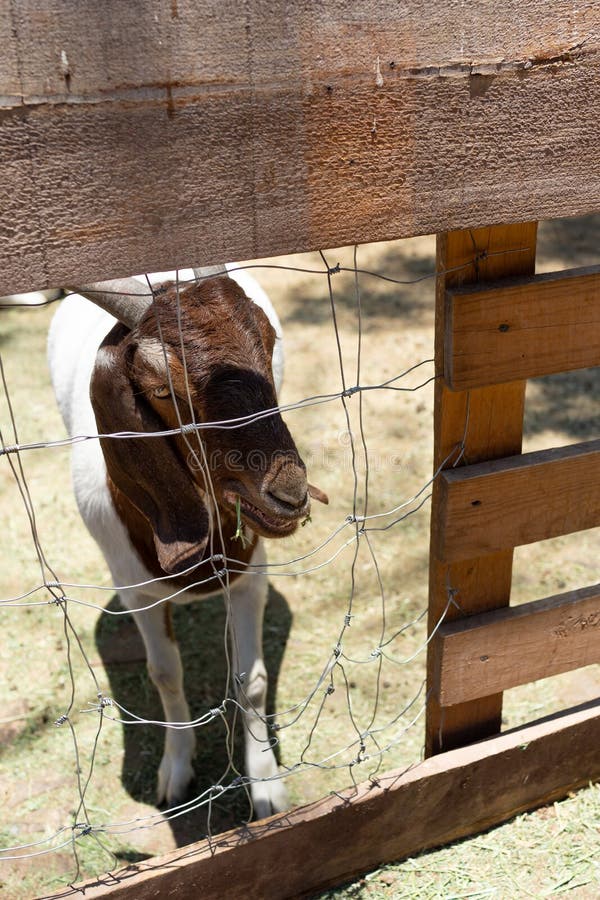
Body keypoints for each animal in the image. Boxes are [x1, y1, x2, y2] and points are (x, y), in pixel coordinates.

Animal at [48, 265, 327, 818]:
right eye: (159, 387)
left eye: (268, 344)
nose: (289, 494)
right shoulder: (136, 592)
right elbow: (165, 674)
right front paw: (175, 772)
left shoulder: (250, 576)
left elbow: (250, 681)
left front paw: (265, 785)